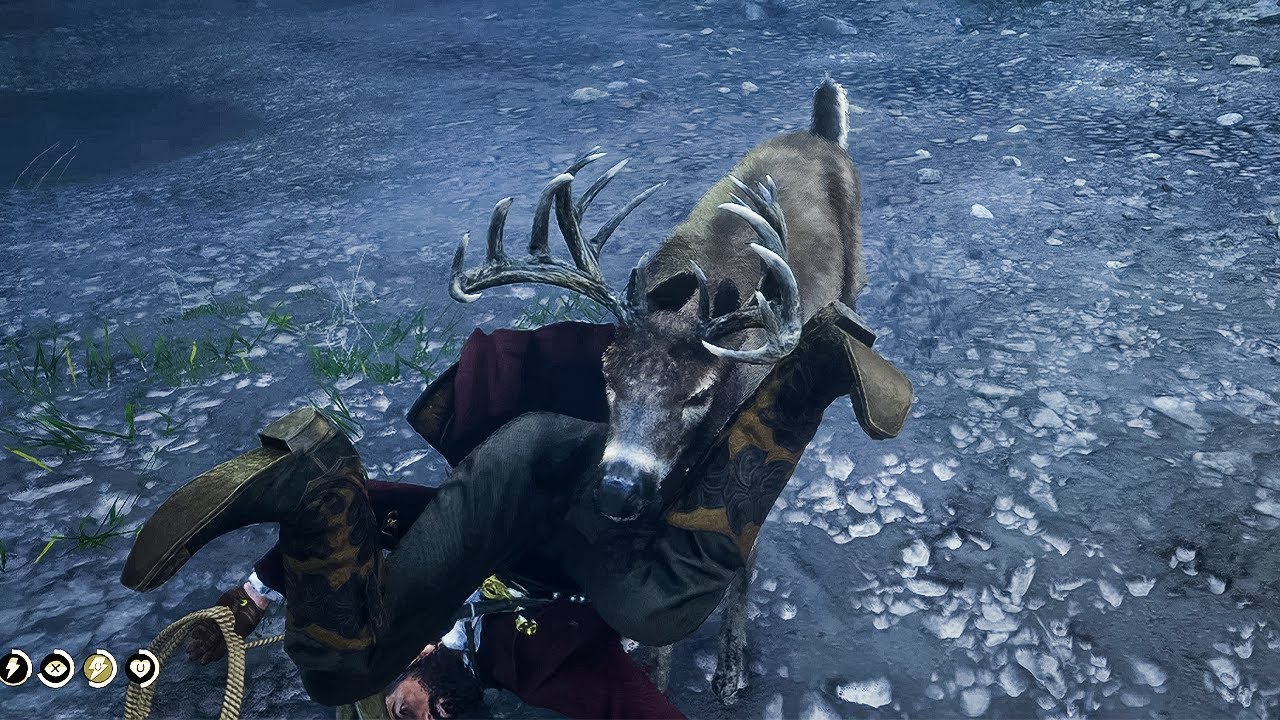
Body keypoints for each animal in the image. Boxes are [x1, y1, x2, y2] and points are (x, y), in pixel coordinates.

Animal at [447, 77, 865, 706]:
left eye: (698, 394)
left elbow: (741, 559)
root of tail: (818, 135)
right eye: (608, 377)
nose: (617, 490)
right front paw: (651, 673)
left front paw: (730, 670)